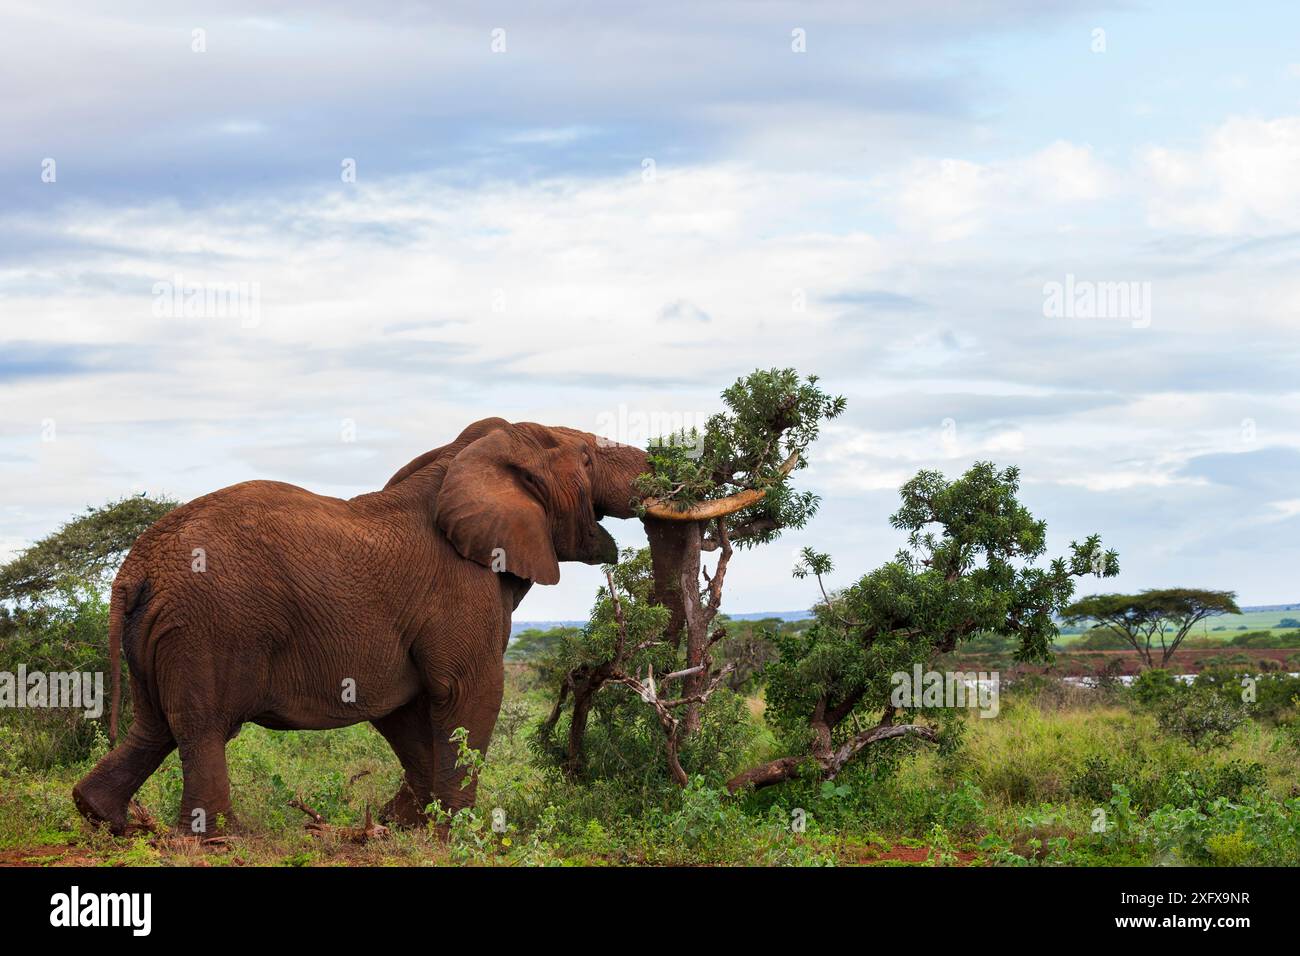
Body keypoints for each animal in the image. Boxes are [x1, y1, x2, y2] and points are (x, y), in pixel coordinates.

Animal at [71, 418, 654, 835]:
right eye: (587, 456)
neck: (468, 456)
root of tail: (136, 567)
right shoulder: (460, 587)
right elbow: (468, 692)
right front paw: (453, 834)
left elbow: (402, 708)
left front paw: (402, 824)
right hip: (209, 625)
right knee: (201, 726)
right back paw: (223, 838)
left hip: (160, 630)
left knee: (155, 727)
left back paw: (103, 817)